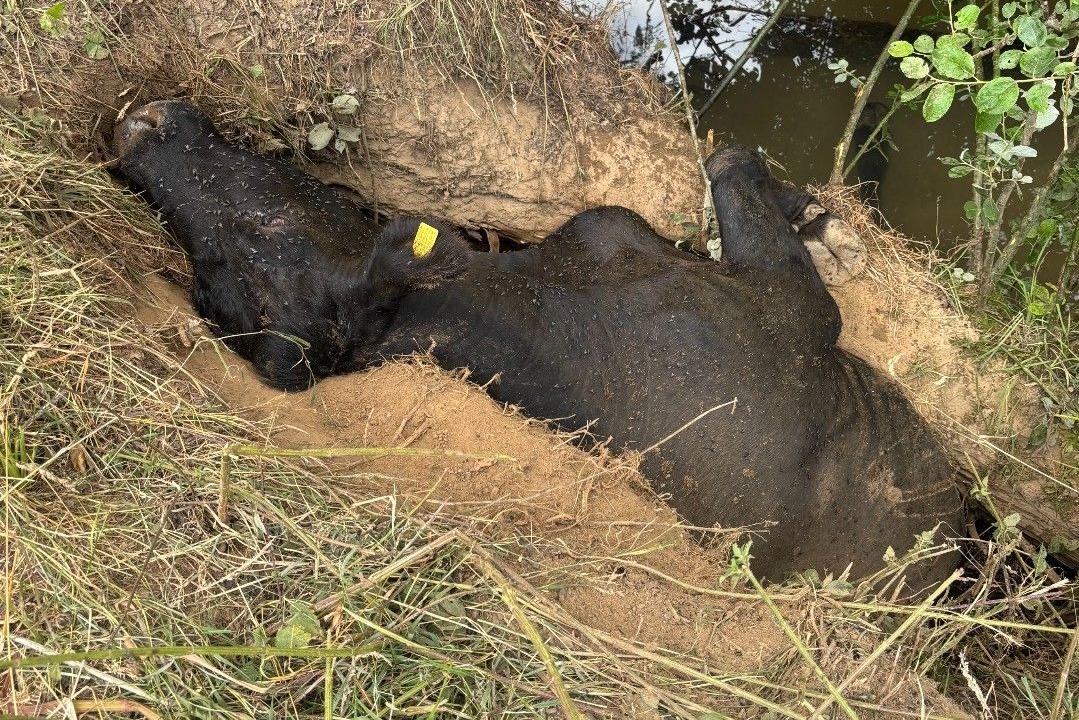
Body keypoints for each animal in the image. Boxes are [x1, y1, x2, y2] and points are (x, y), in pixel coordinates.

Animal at [115, 100, 964, 588]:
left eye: (252, 233)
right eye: (214, 276)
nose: (140, 129)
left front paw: (819, 217)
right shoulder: (794, 312)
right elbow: (730, 163)